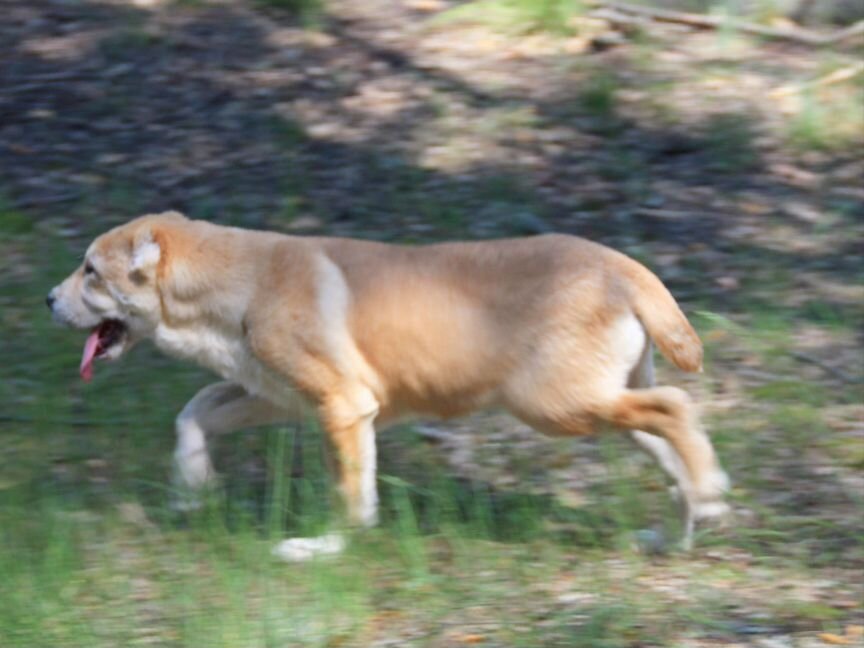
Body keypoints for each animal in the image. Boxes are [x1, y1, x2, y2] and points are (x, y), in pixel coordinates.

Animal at [50, 211, 728, 556]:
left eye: (90, 271)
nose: (49, 299)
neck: (239, 285)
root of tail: (622, 264)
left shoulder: (343, 405)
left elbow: (352, 499)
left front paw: (323, 547)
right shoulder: (276, 396)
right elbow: (192, 413)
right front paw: (193, 489)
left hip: (557, 402)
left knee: (675, 406)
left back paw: (710, 495)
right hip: (603, 400)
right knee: (669, 440)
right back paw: (681, 528)